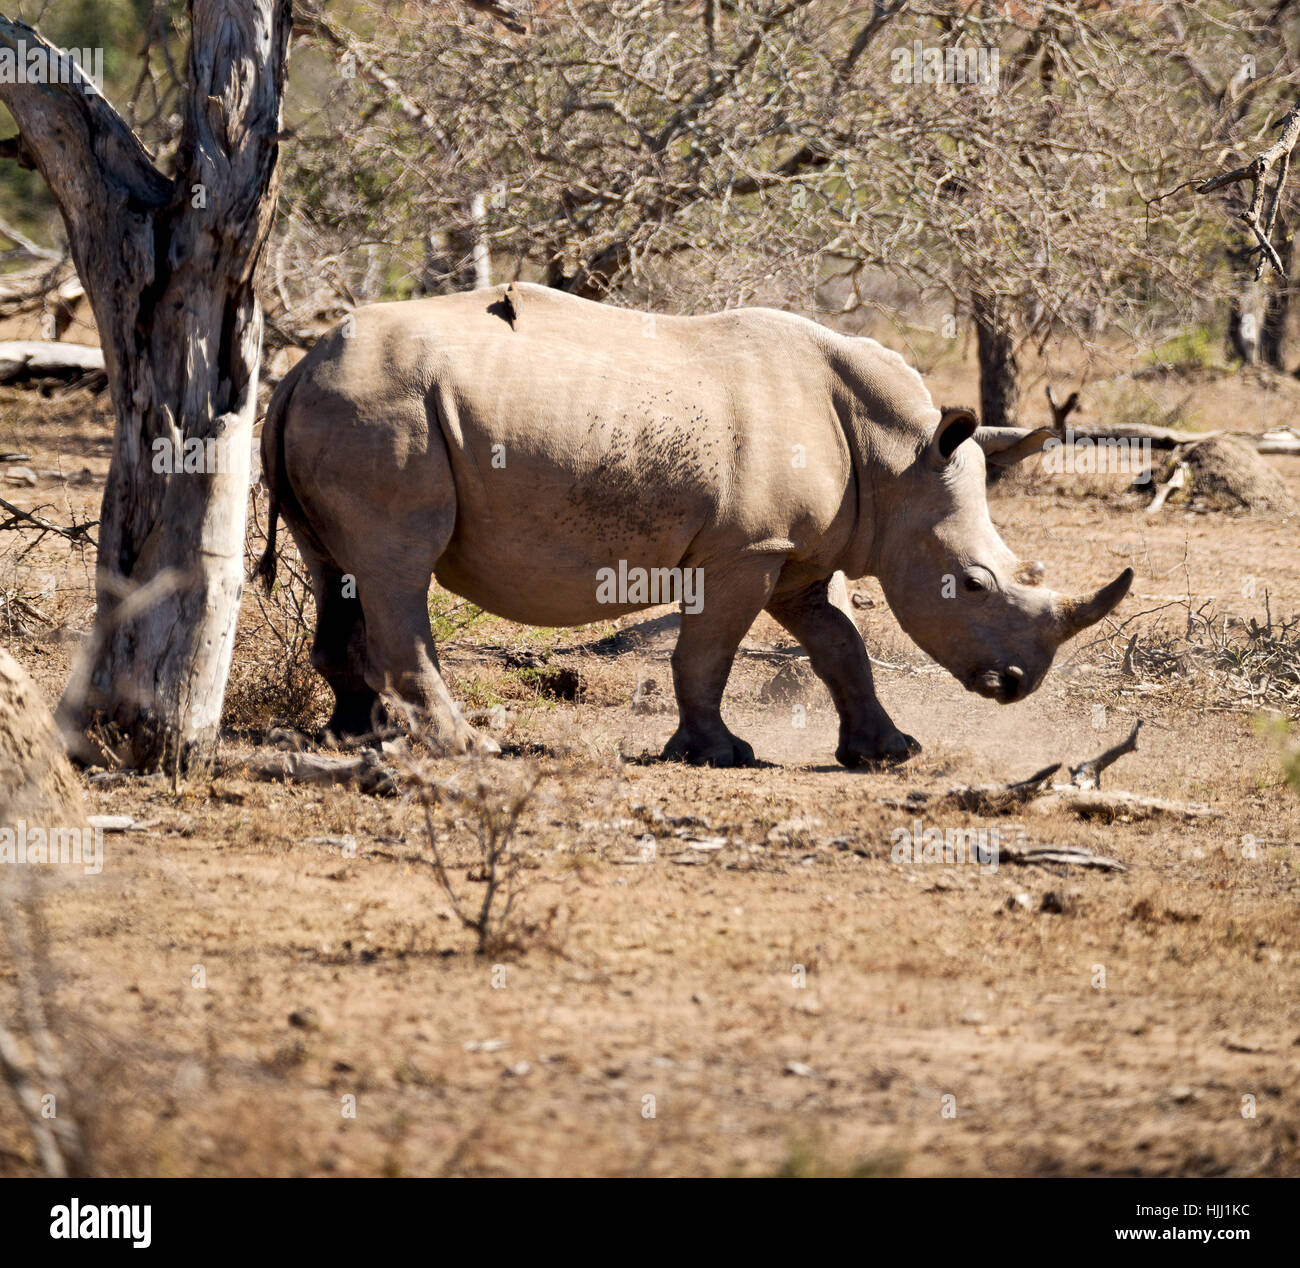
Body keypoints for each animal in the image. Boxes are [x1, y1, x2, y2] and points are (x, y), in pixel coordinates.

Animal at [257, 282, 1131, 767]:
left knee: (338, 566)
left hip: (345, 408)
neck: (899, 457)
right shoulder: (746, 548)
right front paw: (719, 755)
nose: (1017, 685)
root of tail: (297, 370)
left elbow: (842, 646)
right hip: (386, 411)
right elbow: (708, 654)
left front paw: (888, 753)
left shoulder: (800, 553)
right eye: (973, 583)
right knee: (399, 568)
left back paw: (354, 738)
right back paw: (465, 748)